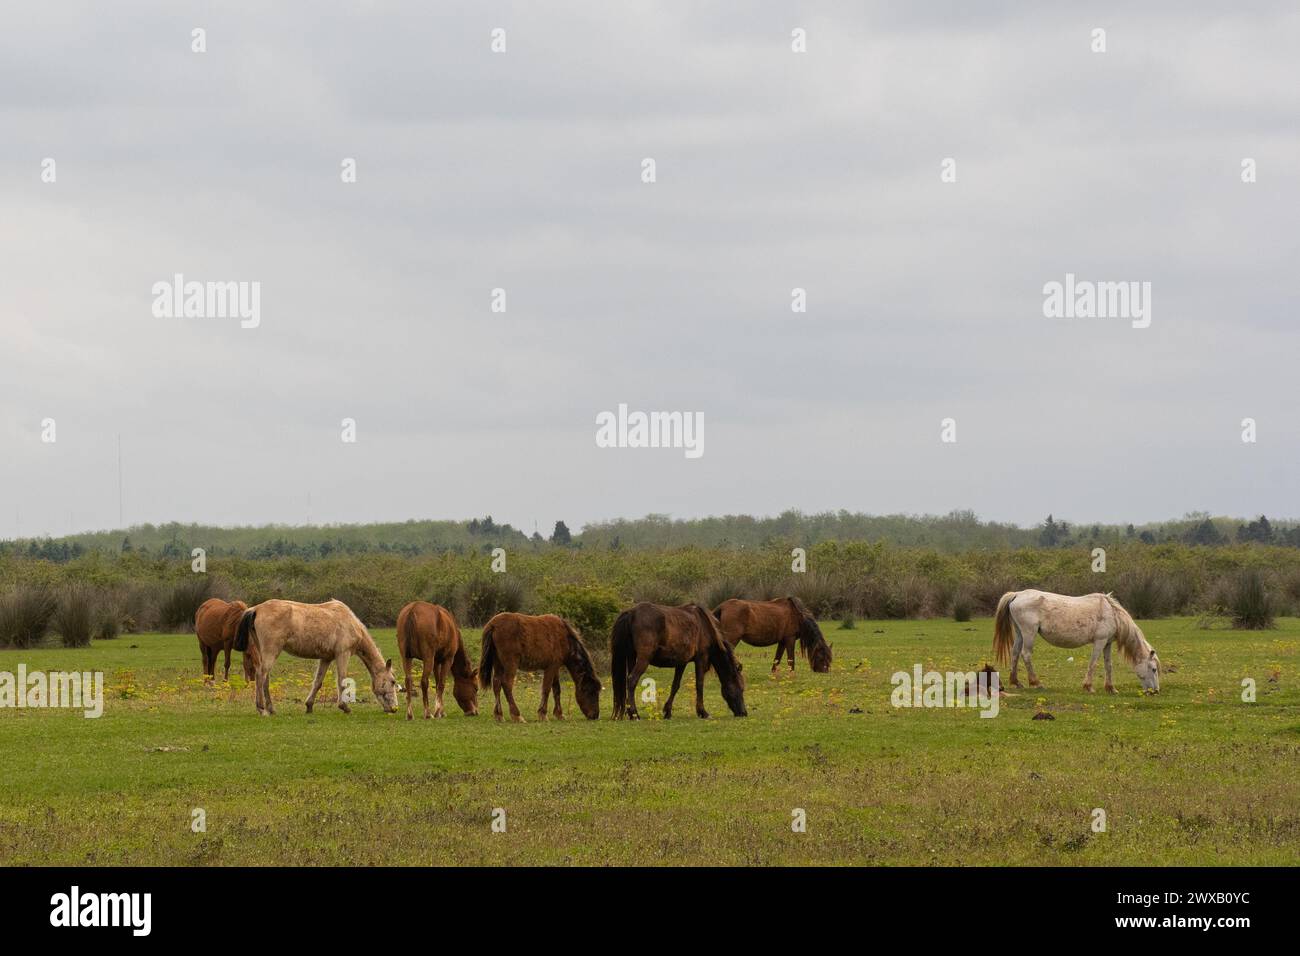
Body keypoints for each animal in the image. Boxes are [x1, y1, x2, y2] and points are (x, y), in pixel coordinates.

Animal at [233, 599, 401, 716]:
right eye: (393, 681)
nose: (394, 708)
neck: (349, 622)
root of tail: (256, 609)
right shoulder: (343, 654)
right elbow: (342, 681)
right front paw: (344, 707)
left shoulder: (326, 658)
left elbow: (318, 682)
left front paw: (309, 706)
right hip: (271, 651)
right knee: (260, 675)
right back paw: (262, 709)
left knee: (265, 679)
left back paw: (271, 709)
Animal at [611, 602, 747, 719]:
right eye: (739, 688)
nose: (743, 713)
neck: (705, 626)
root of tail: (631, 613)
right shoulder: (701, 659)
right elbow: (699, 684)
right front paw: (703, 712)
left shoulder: (681, 662)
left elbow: (675, 685)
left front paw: (667, 711)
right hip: (643, 659)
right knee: (631, 680)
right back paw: (634, 714)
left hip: (631, 656)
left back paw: (630, 712)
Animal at [993, 590, 1160, 693]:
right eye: (1153, 669)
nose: (1156, 691)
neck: (1112, 613)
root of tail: (1017, 595)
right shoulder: (1099, 642)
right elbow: (1093, 663)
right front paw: (1089, 687)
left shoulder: (1107, 643)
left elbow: (1108, 665)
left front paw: (1111, 688)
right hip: (1029, 633)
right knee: (1026, 655)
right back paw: (1036, 683)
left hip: (1020, 633)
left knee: (1015, 653)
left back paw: (1016, 682)